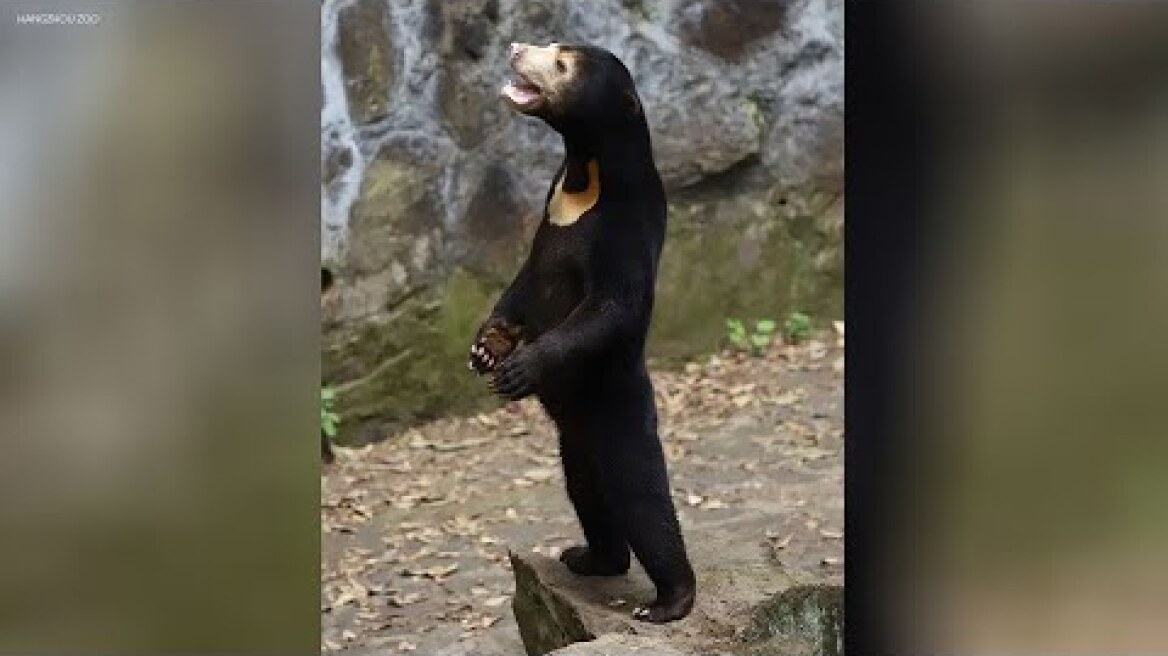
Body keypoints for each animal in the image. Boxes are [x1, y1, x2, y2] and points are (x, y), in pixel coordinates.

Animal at [468, 42, 696, 623]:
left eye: (561, 64)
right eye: (552, 45)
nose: (514, 47)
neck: (584, 174)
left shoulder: (624, 225)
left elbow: (609, 306)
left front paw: (519, 369)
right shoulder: (549, 215)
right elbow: (524, 283)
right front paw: (486, 349)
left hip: (615, 409)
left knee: (642, 498)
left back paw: (669, 601)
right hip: (575, 445)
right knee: (588, 495)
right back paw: (589, 558)